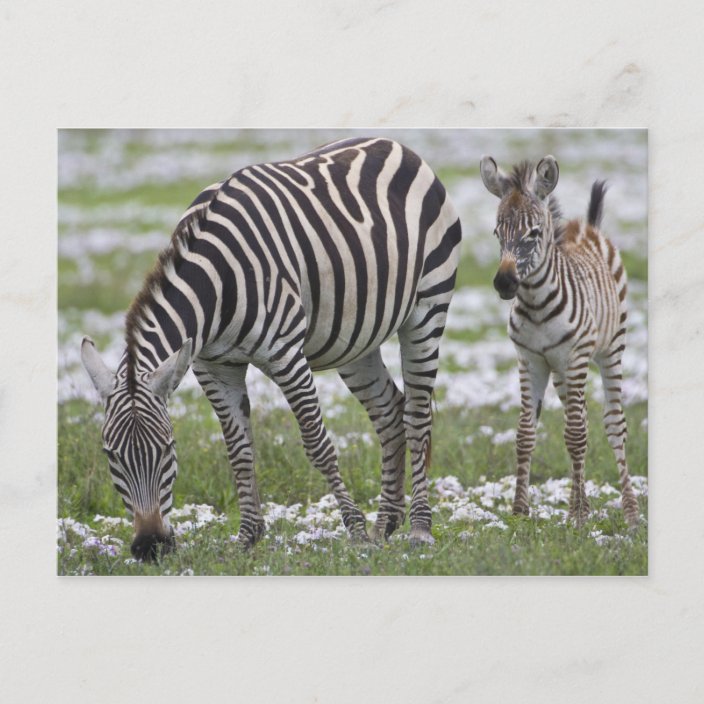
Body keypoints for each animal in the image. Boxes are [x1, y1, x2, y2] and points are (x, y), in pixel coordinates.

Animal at [81, 136, 462, 560]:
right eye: (110, 455)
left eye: (168, 448)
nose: (150, 547)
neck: (216, 284)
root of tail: (398, 146)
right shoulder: (213, 367)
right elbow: (238, 449)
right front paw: (247, 537)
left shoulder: (285, 354)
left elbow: (317, 443)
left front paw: (355, 531)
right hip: (357, 339)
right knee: (389, 412)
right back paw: (386, 524)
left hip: (428, 307)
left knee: (417, 416)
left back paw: (419, 528)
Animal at [479, 154, 639, 527]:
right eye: (497, 232)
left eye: (534, 233)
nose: (504, 283)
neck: (537, 305)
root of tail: (588, 226)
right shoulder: (530, 361)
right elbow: (526, 433)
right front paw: (520, 512)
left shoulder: (574, 357)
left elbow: (576, 435)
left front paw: (576, 519)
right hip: (562, 373)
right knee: (582, 416)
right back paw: (585, 502)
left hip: (609, 351)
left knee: (613, 424)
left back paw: (629, 511)